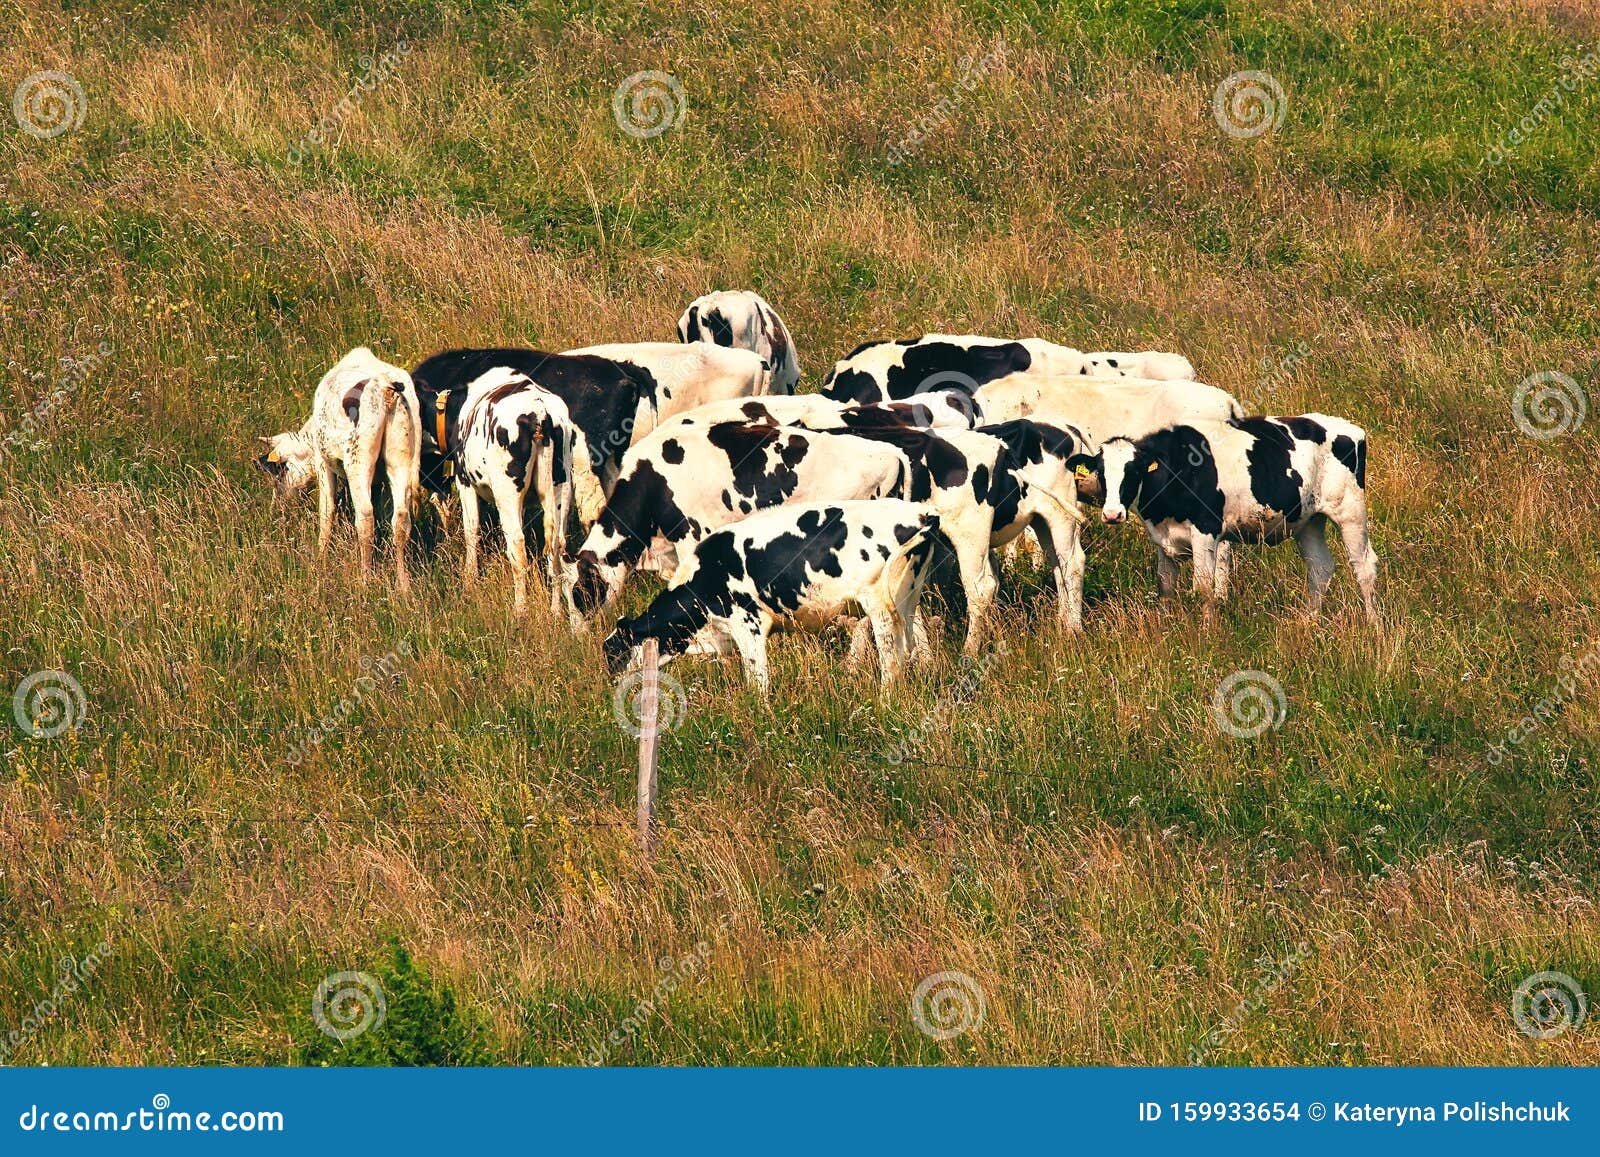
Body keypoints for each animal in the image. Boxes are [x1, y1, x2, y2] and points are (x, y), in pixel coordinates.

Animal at [256, 346, 421, 593]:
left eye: (281, 470)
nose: (278, 507)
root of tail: (384, 384)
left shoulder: (323, 462)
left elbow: (327, 511)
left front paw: (320, 558)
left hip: (357, 460)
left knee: (365, 516)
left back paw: (365, 578)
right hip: (402, 458)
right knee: (400, 518)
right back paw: (403, 584)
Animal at [452, 367, 595, 621]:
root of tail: (540, 413)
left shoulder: (464, 482)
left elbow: (471, 530)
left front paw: (469, 581)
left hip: (506, 493)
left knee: (517, 545)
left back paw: (520, 609)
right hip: (561, 489)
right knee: (556, 546)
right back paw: (556, 610)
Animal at [603, 500, 941, 695]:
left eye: (613, 653)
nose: (609, 688)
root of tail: (921, 511)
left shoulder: (748, 625)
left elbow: (758, 680)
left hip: (880, 605)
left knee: (891, 659)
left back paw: (884, 699)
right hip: (908, 598)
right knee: (910, 645)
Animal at [1089, 415, 1379, 622]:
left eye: (1133, 472)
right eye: (1101, 473)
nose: (1112, 514)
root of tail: (1347, 426)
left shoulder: (1205, 530)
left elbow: (1203, 589)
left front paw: (1207, 634)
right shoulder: (1163, 538)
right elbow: (1165, 588)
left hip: (1350, 511)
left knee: (1364, 567)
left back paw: (1373, 625)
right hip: (1309, 520)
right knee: (1319, 568)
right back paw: (1309, 623)